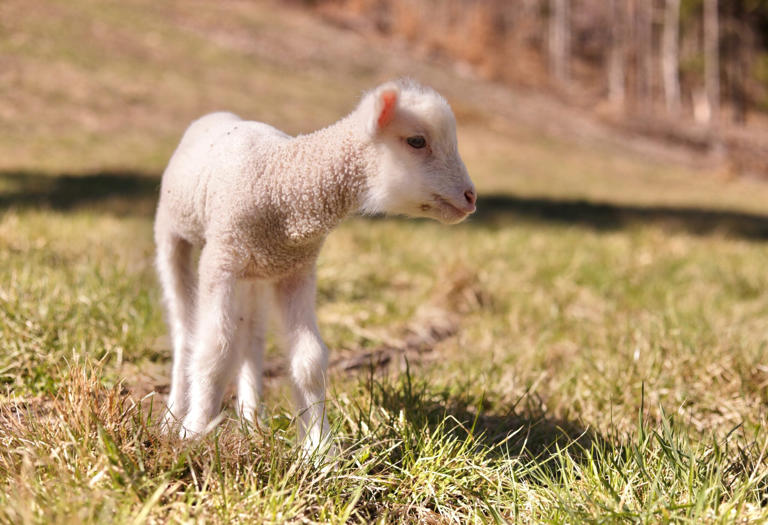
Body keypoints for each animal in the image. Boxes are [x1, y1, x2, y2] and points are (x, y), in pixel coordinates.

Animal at [154, 79, 477, 452]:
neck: (285, 182)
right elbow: (215, 350)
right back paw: (174, 415)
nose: (471, 197)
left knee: (252, 336)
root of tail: (216, 114)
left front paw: (318, 448)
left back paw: (252, 419)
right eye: (417, 141)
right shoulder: (219, 261)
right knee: (184, 331)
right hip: (174, 234)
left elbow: (309, 359)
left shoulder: (297, 270)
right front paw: (193, 433)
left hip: (255, 271)